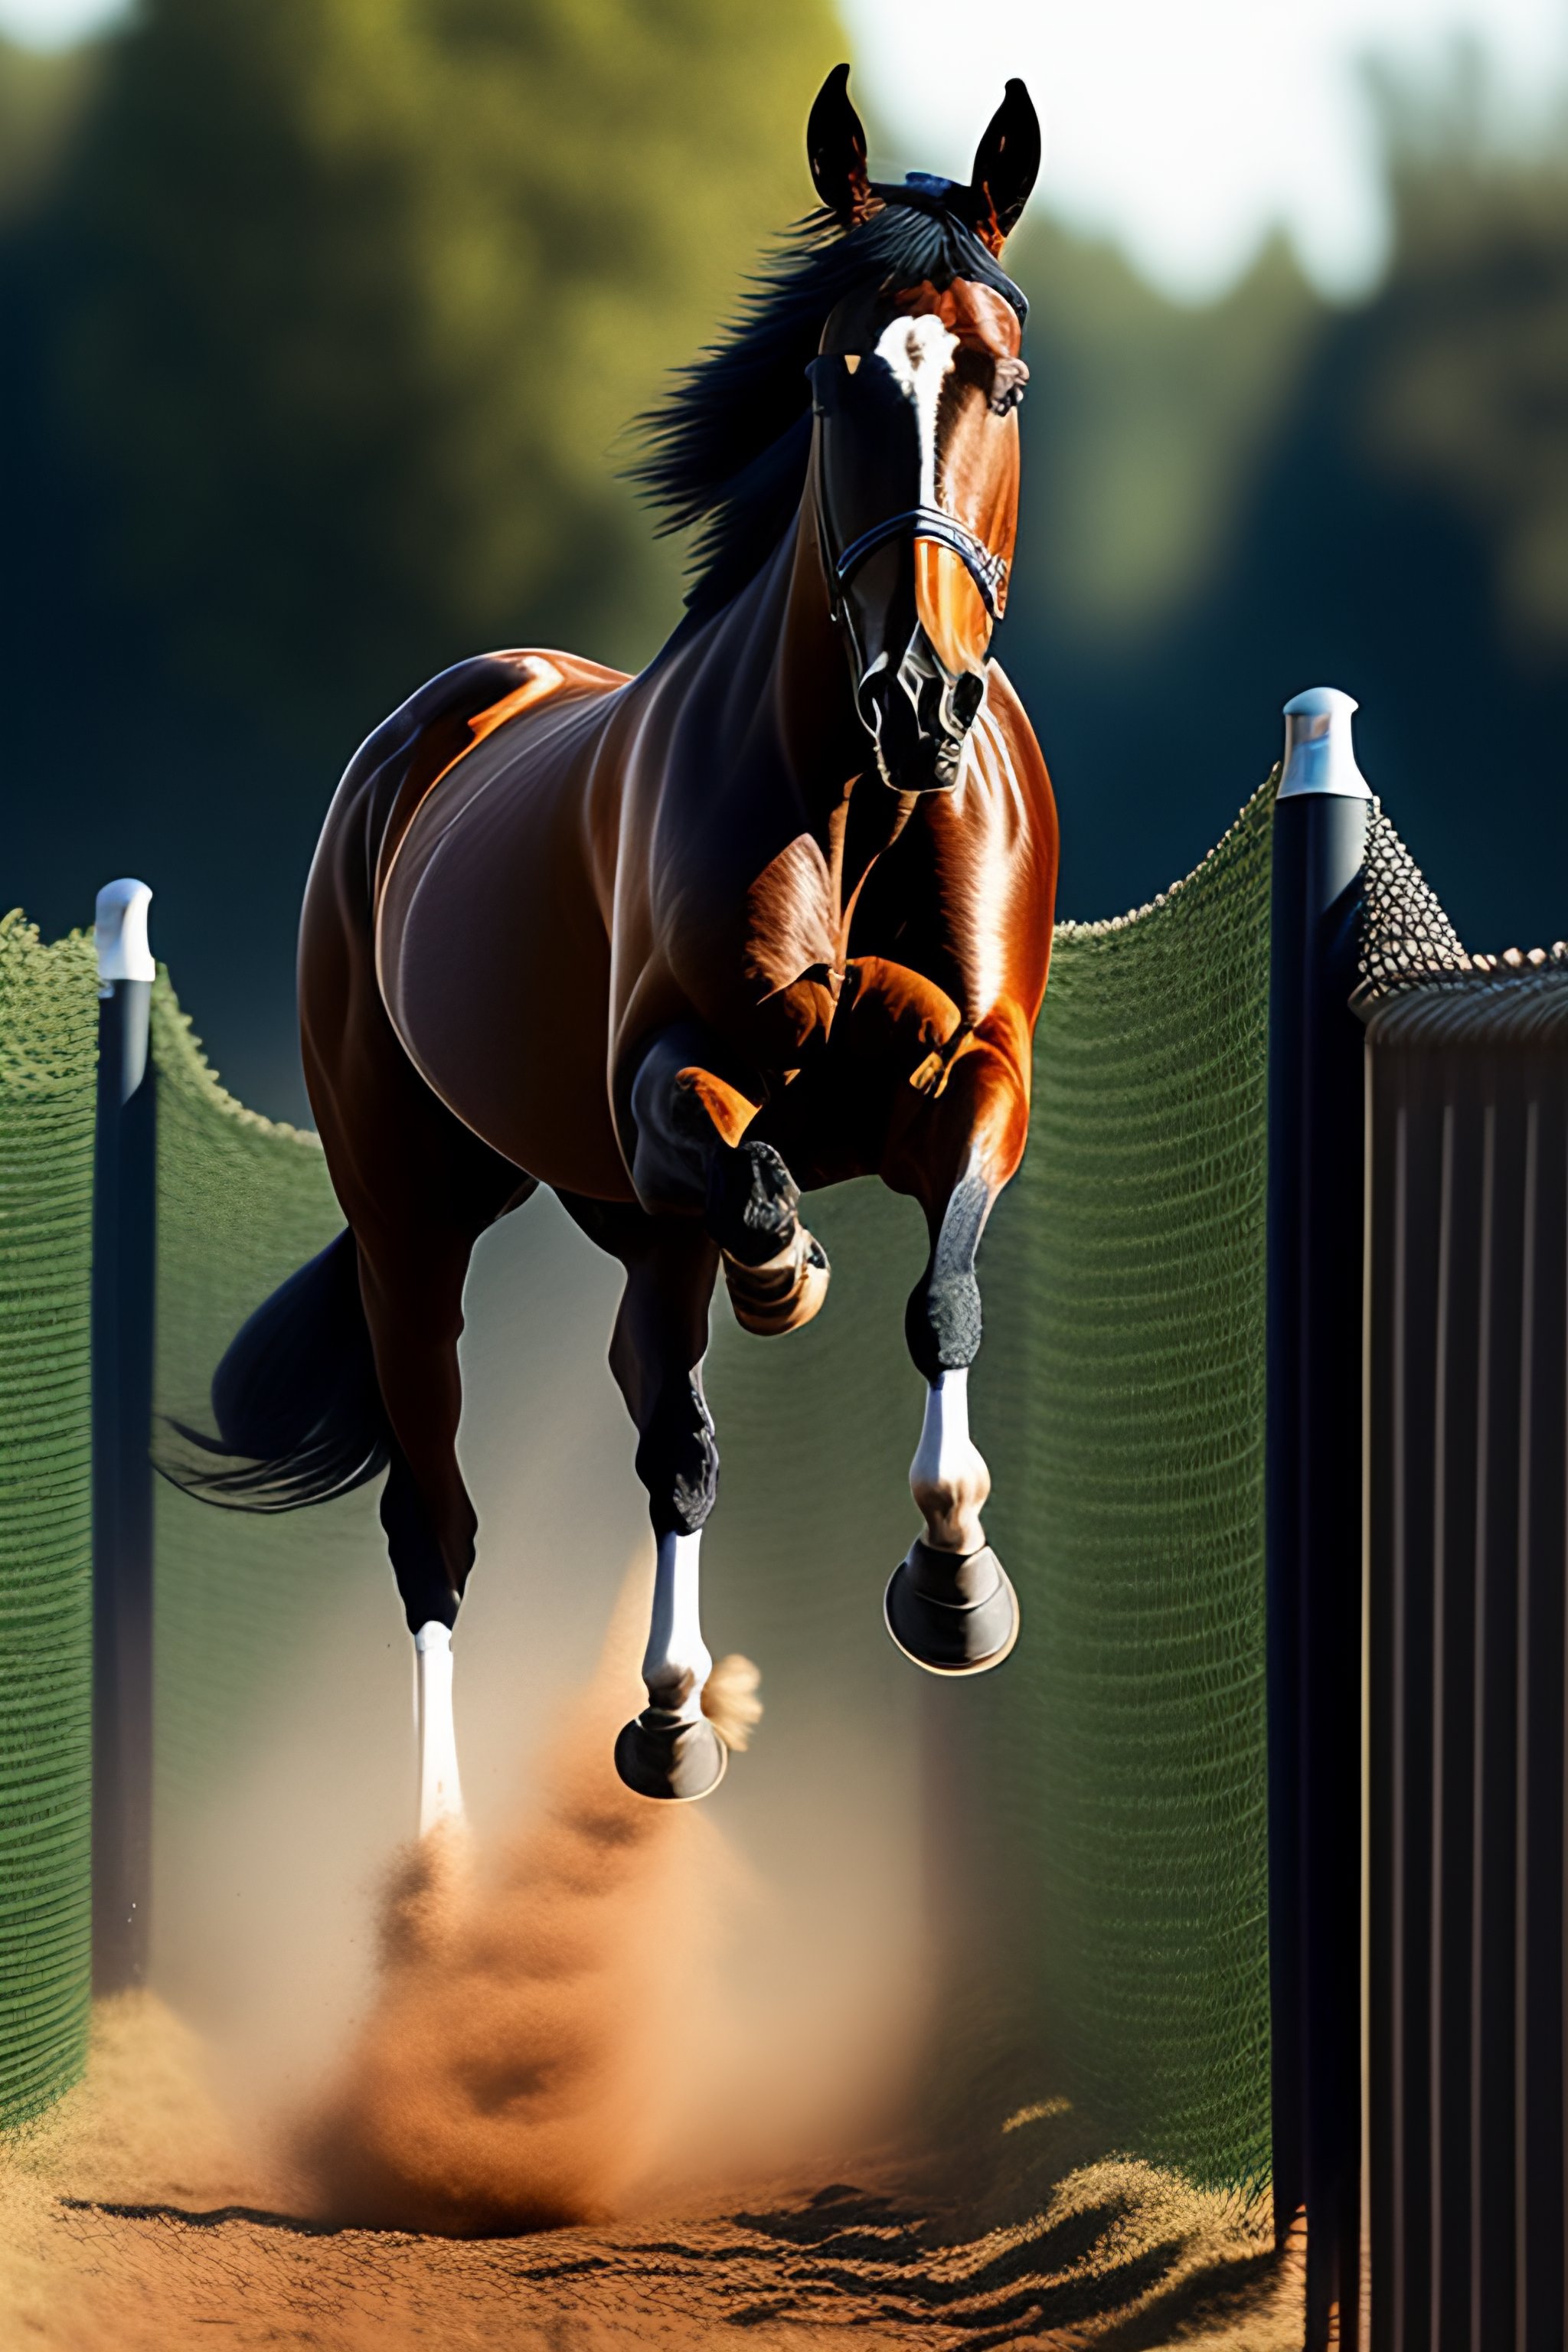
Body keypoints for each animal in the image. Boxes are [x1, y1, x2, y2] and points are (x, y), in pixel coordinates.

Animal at [169, 65, 1057, 1822]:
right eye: (835, 375)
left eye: (1000, 380)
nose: (918, 699)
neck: (856, 806)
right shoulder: (666, 1091)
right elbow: (759, 1202)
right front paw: (789, 1273)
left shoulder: (976, 1072)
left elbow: (939, 1298)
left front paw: (955, 1592)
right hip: (410, 1218)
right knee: (443, 1523)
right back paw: (448, 1850)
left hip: (597, 1220)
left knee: (664, 1436)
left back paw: (668, 1716)